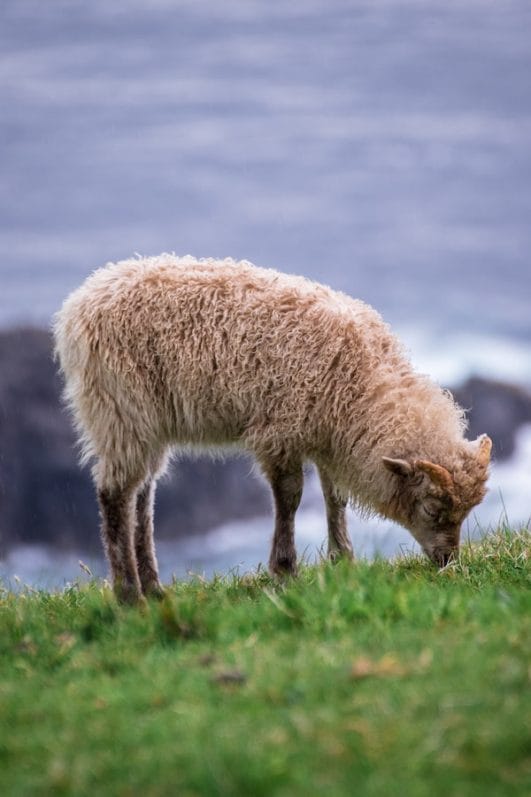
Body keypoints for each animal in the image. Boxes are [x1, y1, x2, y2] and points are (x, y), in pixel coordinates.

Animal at [54, 254, 492, 603]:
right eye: (433, 508)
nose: (448, 562)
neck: (362, 384)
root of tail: (81, 302)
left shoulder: (327, 434)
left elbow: (335, 497)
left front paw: (342, 560)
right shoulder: (282, 430)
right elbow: (290, 498)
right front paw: (285, 569)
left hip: (147, 423)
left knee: (142, 494)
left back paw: (154, 587)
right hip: (120, 410)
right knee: (115, 495)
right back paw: (129, 595)